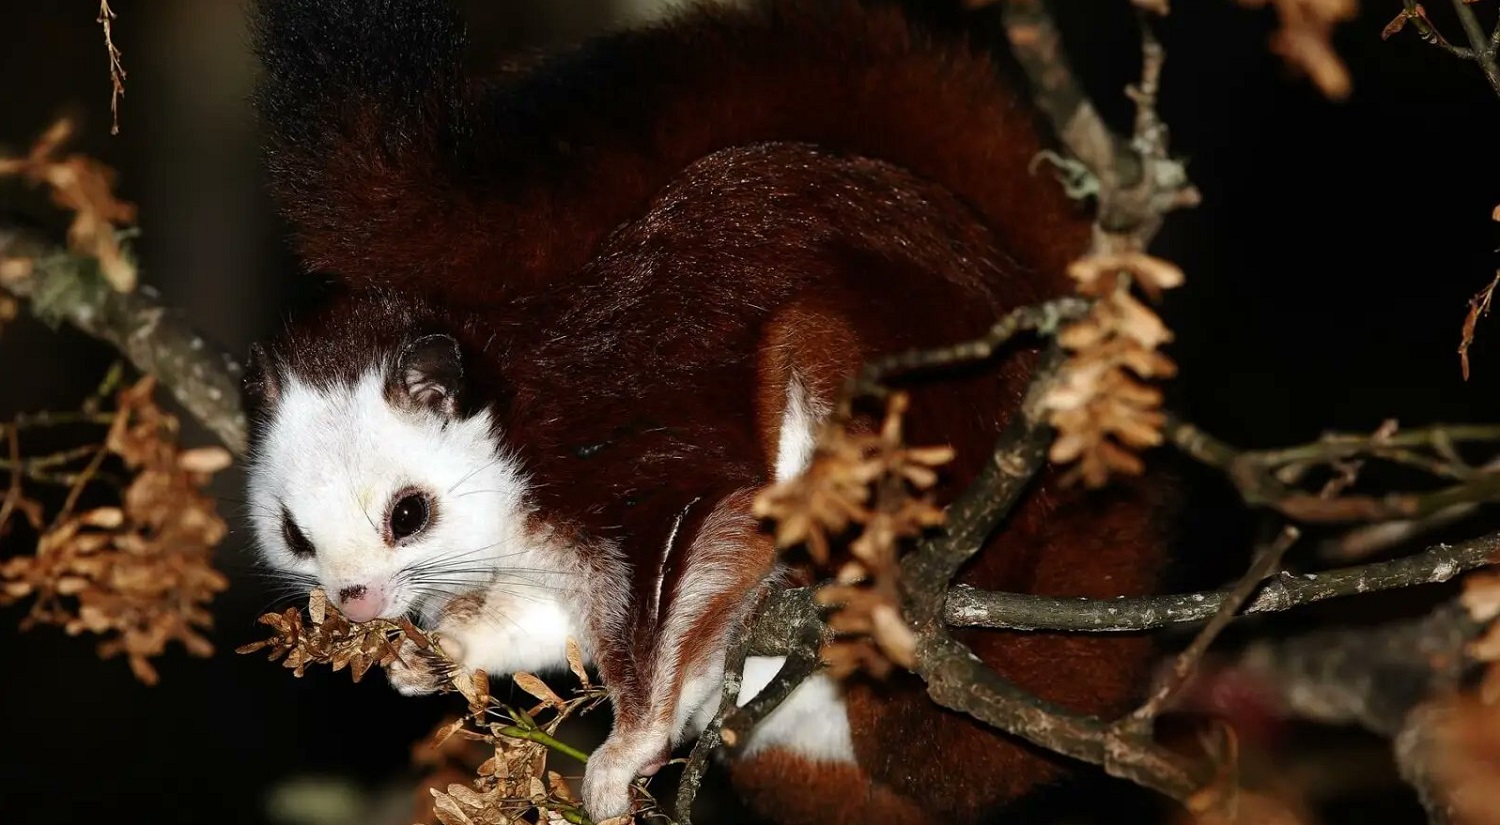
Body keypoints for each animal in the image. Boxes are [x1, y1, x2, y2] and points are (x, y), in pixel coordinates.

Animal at [239, 1, 1176, 822]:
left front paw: (628, 746)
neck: (514, 432)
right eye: (293, 535)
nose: (357, 600)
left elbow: (706, 540)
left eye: (408, 513)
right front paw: (438, 653)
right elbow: (547, 617)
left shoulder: (630, 451)